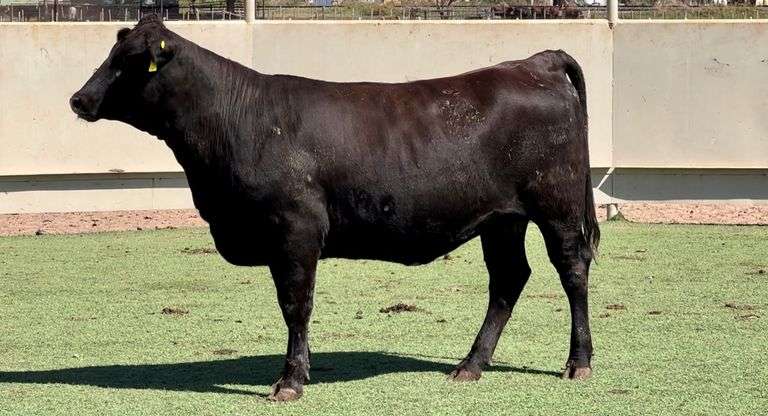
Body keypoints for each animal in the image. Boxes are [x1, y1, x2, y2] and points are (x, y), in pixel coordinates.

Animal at [70, 15, 599, 401]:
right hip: (501, 219)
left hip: (556, 204)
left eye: (129, 61)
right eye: (111, 54)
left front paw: (290, 381)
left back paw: (578, 363)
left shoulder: (295, 230)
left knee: (572, 270)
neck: (237, 118)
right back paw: (470, 366)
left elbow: (295, 304)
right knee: (508, 278)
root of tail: (534, 63)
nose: (78, 98)